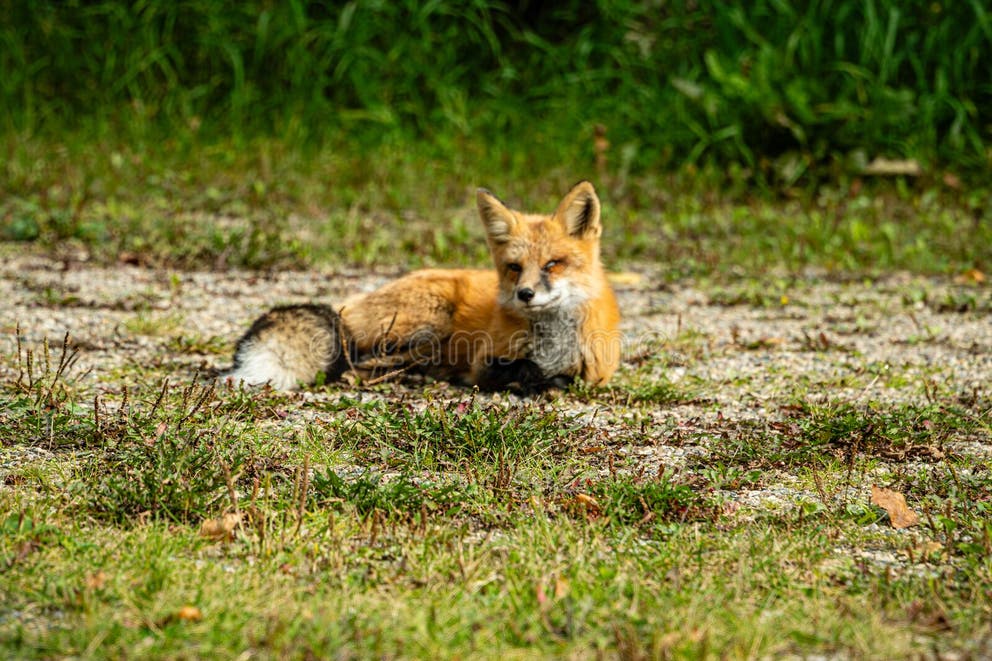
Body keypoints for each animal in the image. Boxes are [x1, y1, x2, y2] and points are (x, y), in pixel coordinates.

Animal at [225, 181, 621, 393]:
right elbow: (527, 370)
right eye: (514, 267)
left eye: (552, 264)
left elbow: (562, 376)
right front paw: (536, 381)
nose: (525, 295)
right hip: (428, 322)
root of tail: (347, 307)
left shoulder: (596, 374)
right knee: (356, 364)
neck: (553, 341)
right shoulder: (485, 362)